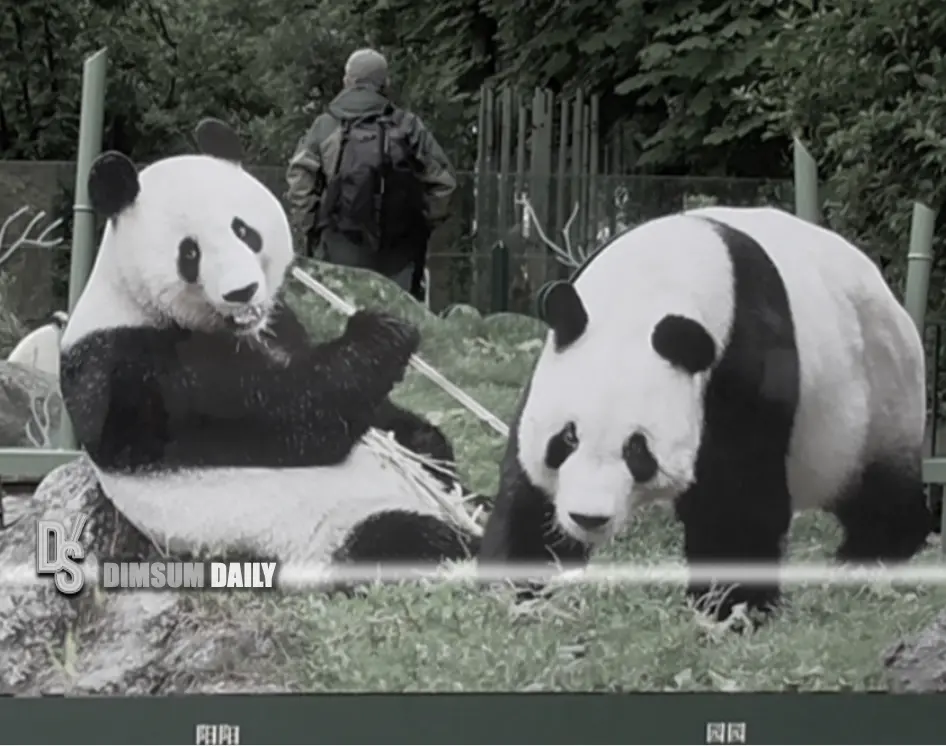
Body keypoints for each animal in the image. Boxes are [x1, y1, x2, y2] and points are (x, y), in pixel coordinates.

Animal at [58, 117, 478, 569]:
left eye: (244, 230)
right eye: (190, 253)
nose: (241, 292)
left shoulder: (280, 324)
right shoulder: (134, 368)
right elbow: (297, 413)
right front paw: (382, 334)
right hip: (332, 530)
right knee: (406, 539)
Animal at [479, 205, 934, 622]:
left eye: (637, 450)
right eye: (567, 438)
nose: (588, 518)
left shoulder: (744, 358)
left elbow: (737, 496)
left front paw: (731, 606)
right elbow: (528, 491)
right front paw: (524, 583)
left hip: (877, 402)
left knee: (879, 494)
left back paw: (870, 553)